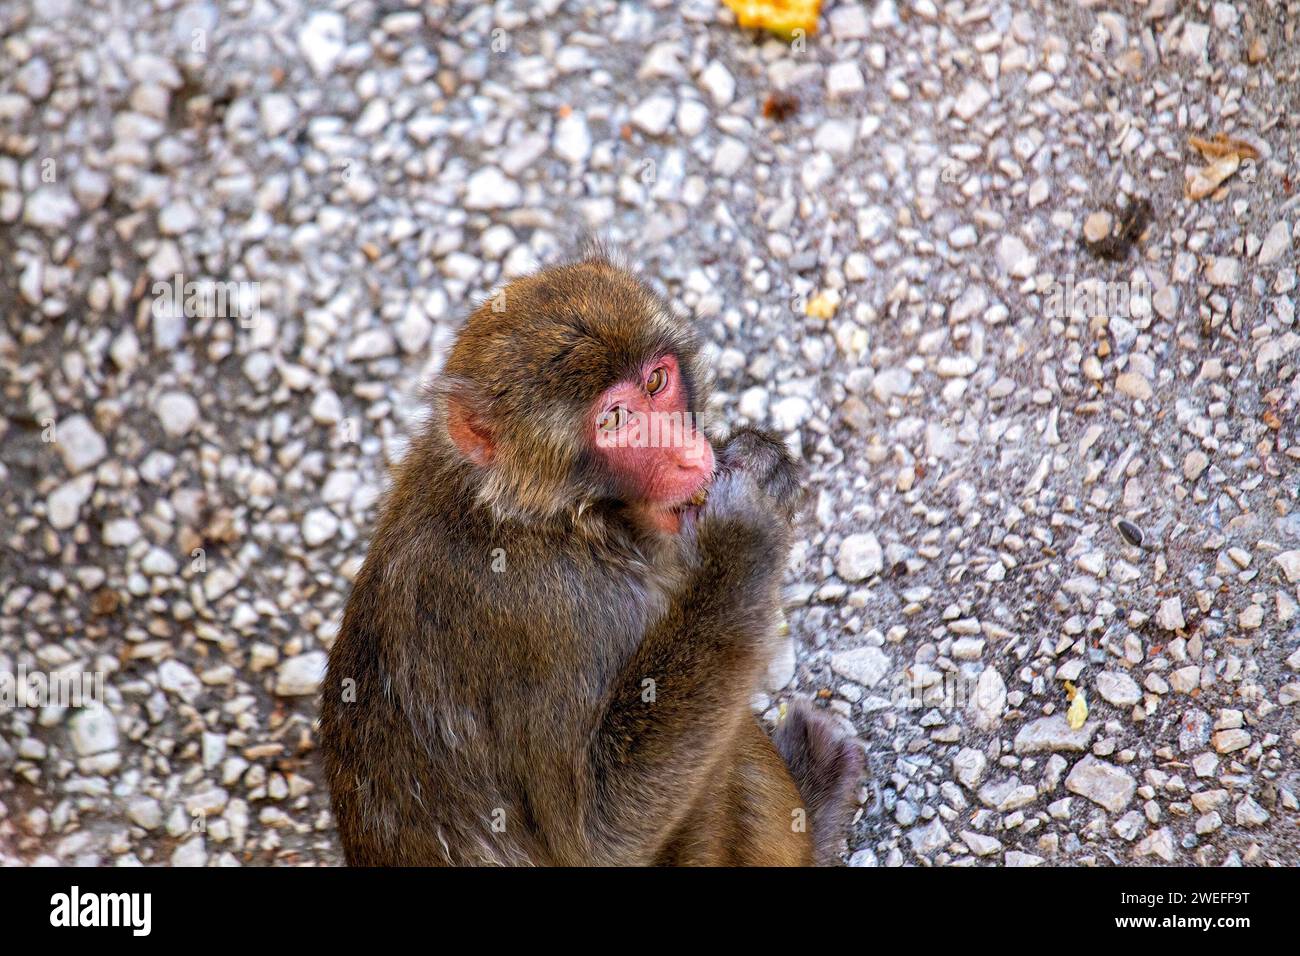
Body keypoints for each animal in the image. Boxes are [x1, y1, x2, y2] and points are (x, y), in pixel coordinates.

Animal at [318, 250, 863, 866]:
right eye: (615, 420)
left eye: (656, 380)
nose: (690, 454)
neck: (553, 520)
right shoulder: (546, 614)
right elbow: (598, 836)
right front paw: (740, 537)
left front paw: (756, 460)